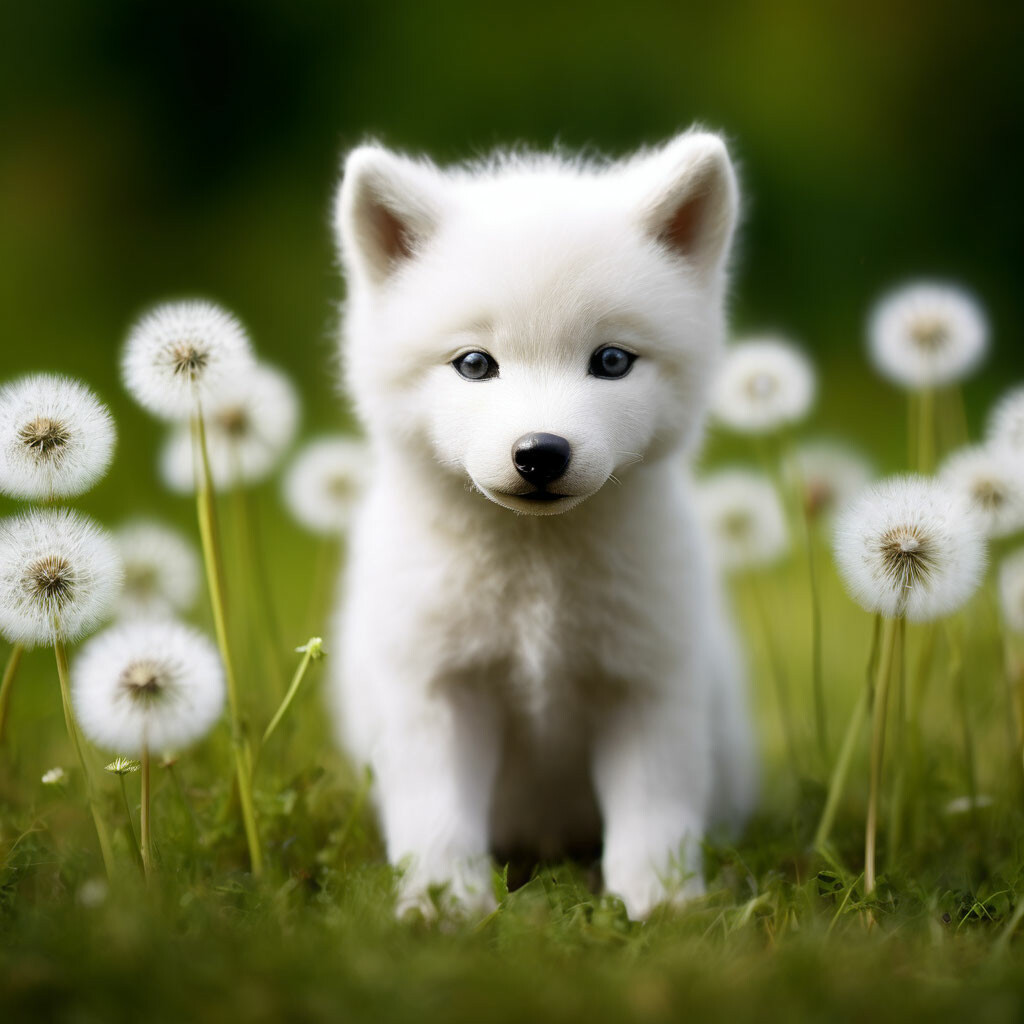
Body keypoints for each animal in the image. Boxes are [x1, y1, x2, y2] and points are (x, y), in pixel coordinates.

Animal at [329, 130, 757, 920]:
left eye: (611, 360)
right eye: (474, 364)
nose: (541, 453)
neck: (536, 575)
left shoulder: (648, 684)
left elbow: (654, 818)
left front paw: (660, 910)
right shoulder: (435, 690)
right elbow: (437, 817)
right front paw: (444, 907)